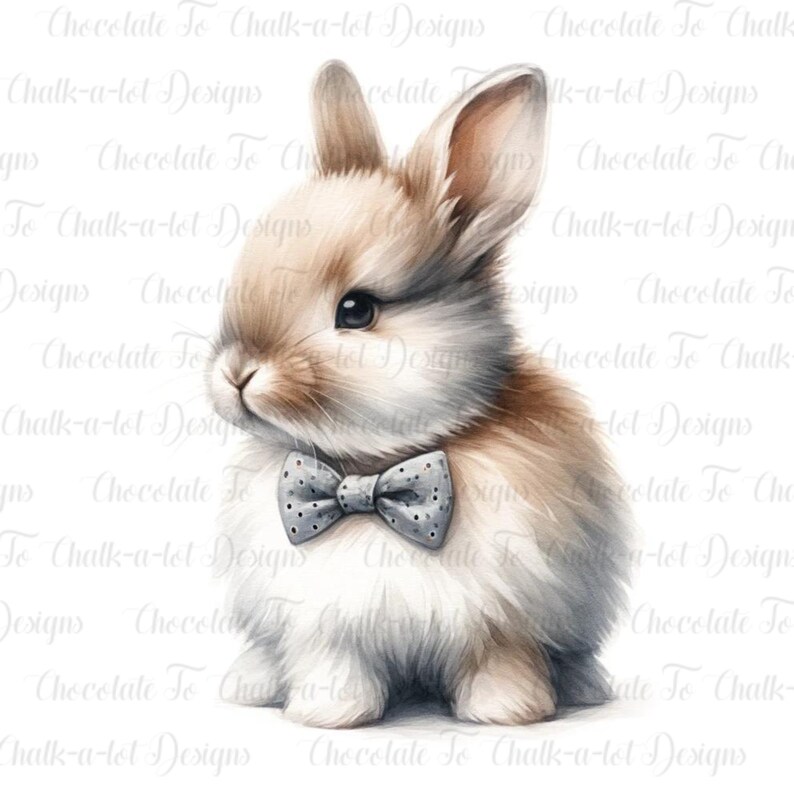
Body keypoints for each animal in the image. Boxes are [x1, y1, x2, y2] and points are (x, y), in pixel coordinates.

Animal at [207, 60, 632, 728]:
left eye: (357, 310)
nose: (237, 373)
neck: (369, 474)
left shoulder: (505, 615)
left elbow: (500, 659)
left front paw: (507, 712)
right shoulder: (324, 622)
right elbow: (335, 661)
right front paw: (329, 714)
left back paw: (586, 688)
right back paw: (249, 683)